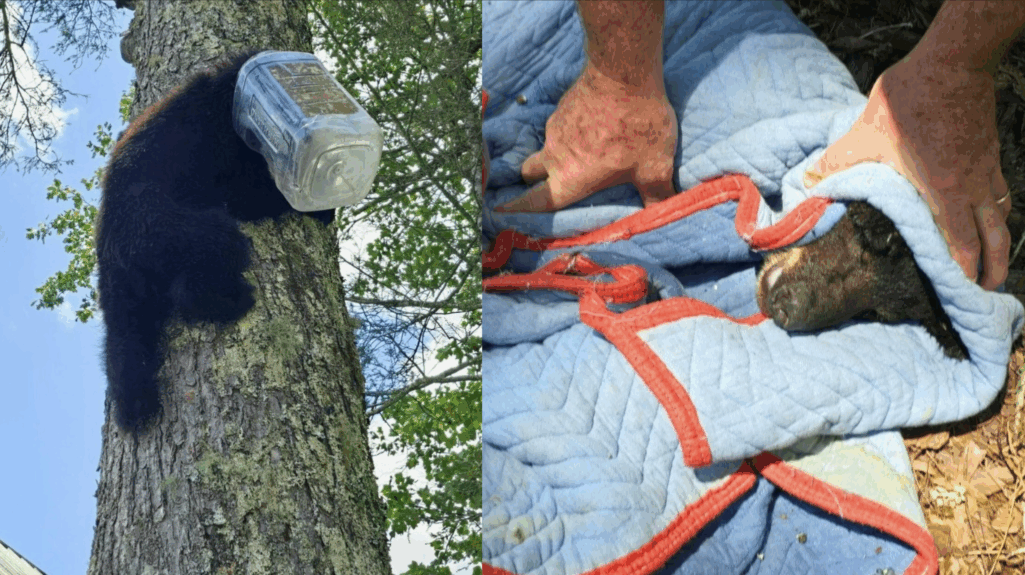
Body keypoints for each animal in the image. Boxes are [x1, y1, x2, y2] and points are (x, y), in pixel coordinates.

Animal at [95, 50, 335, 432]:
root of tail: (109, 252)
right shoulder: (225, 157)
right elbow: (253, 195)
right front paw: (322, 207)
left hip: (130, 298)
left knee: (127, 344)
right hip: (180, 230)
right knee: (196, 280)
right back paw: (233, 300)